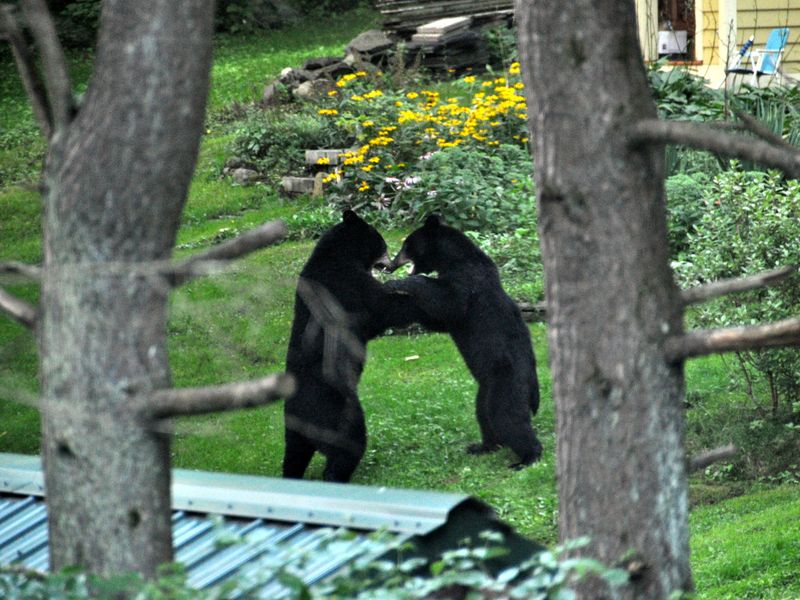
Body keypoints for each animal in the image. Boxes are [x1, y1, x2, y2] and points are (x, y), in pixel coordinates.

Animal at [282, 209, 427, 482]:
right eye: (382, 243)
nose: (389, 264)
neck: (339, 253)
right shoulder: (350, 285)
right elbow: (382, 309)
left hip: (293, 433)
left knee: (293, 457)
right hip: (341, 414)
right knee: (348, 447)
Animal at [386, 214, 543, 468]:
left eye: (406, 245)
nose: (390, 265)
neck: (455, 259)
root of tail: (532, 388)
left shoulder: (468, 283)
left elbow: (449, 302)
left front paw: (399, 284)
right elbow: (438, 318)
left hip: (507, 384)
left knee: (508, 418)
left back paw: (527, 458)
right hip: (487, 389)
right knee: (484, 415)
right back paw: (483, 446)